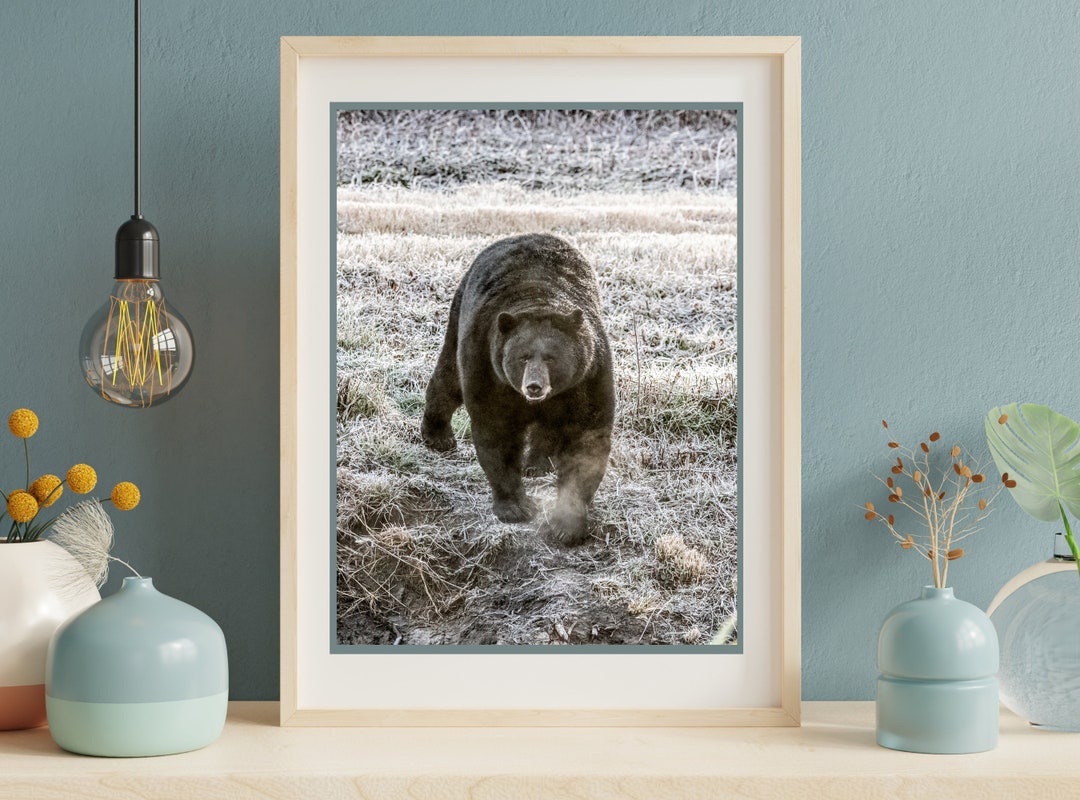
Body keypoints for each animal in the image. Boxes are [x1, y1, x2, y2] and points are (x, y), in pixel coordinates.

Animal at [421, 233, 614, 546]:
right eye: (522, 357)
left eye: (551, 357)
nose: (534, 386)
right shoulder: (490, 369)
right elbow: (497, 434)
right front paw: (515, 507)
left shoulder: (588, 378)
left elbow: (586, 441)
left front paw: (566, 524)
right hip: (459, 316)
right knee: (449, 378)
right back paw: (438, 436)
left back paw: (538, 463)